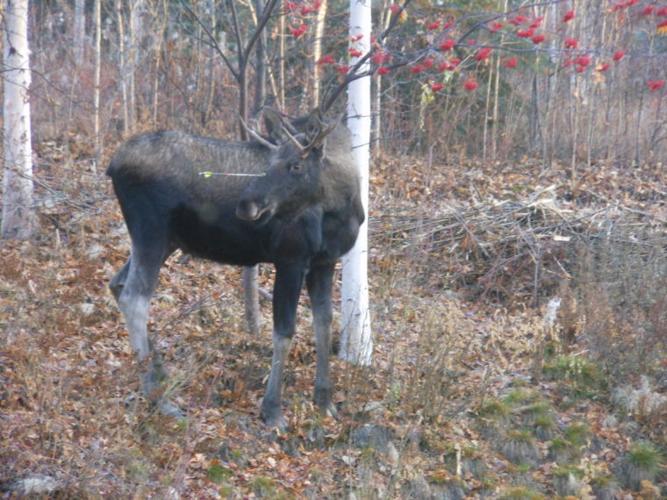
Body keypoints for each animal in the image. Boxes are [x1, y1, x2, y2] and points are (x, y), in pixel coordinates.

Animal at [107, 109, 364, 428]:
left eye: (296, 165)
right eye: (271, 160)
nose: (247, 205)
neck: (341, 205)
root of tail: (112, 165)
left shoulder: (325, 261)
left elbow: (324, 323)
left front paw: (324, 401)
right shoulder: (290, 258)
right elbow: (284, 331)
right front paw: (272, 410)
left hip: (166, 240)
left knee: (117, 284)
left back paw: (158, 370)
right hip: (151, 231)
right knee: (135, 299)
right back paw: (158, 396)